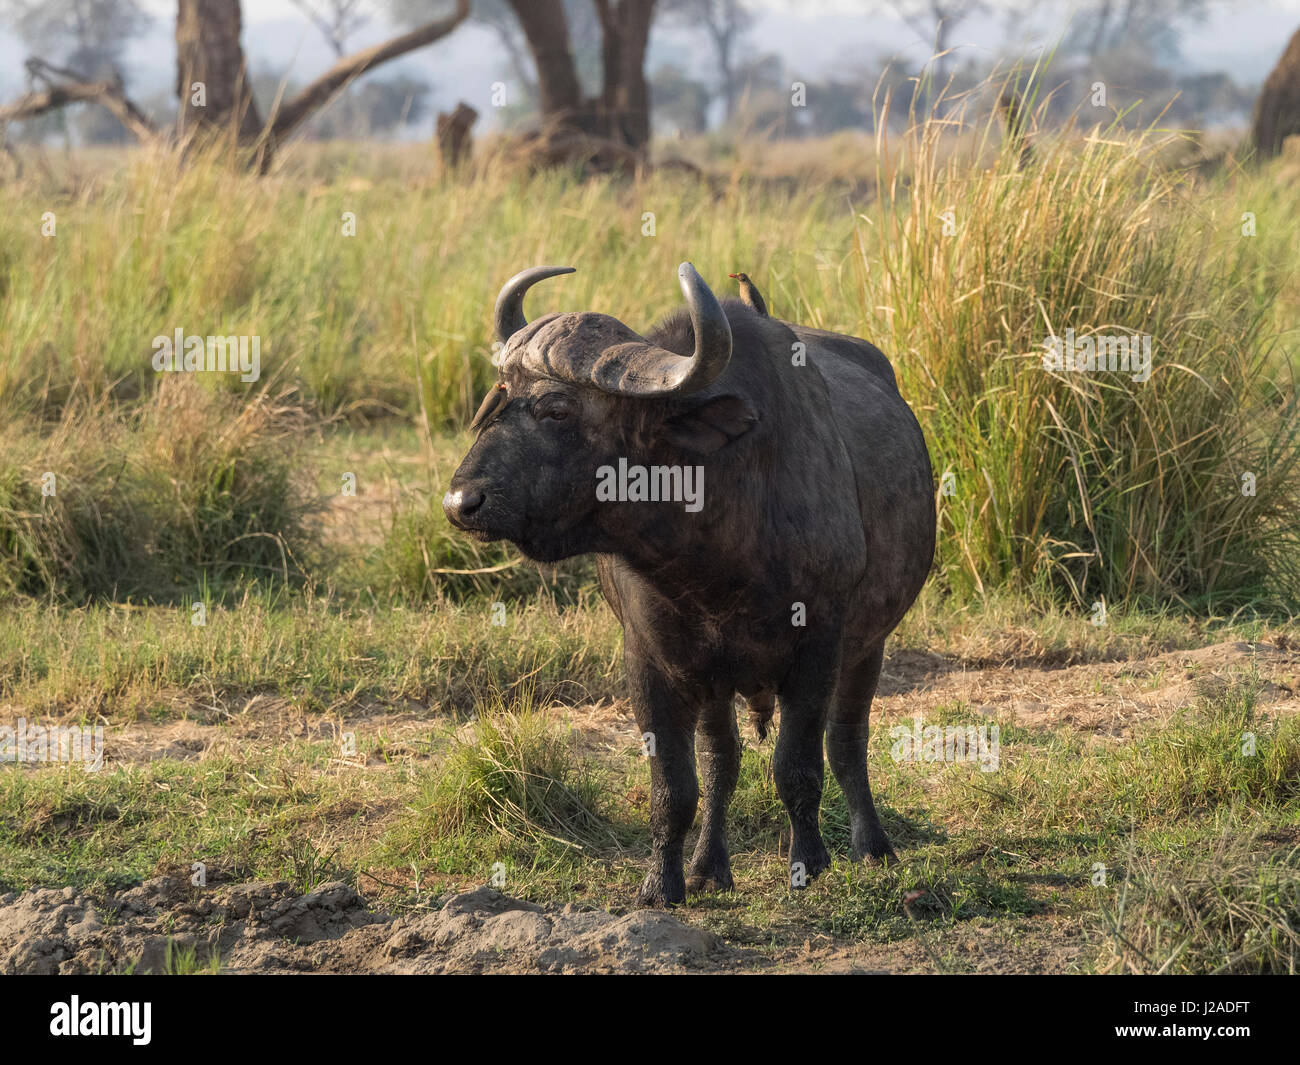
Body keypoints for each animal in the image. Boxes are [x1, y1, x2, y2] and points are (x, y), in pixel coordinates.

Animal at [444, 262, 935, 905]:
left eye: (557, 410)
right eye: (498, 400)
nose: (461, 502)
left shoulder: (820, 644)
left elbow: (799, 763)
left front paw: (809, 861)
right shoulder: (653, 659)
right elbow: (676, 784)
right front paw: (664, 882)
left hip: (868, 647)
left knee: (847, 741)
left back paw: (873, 846)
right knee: (723, 759)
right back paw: (708, 865)